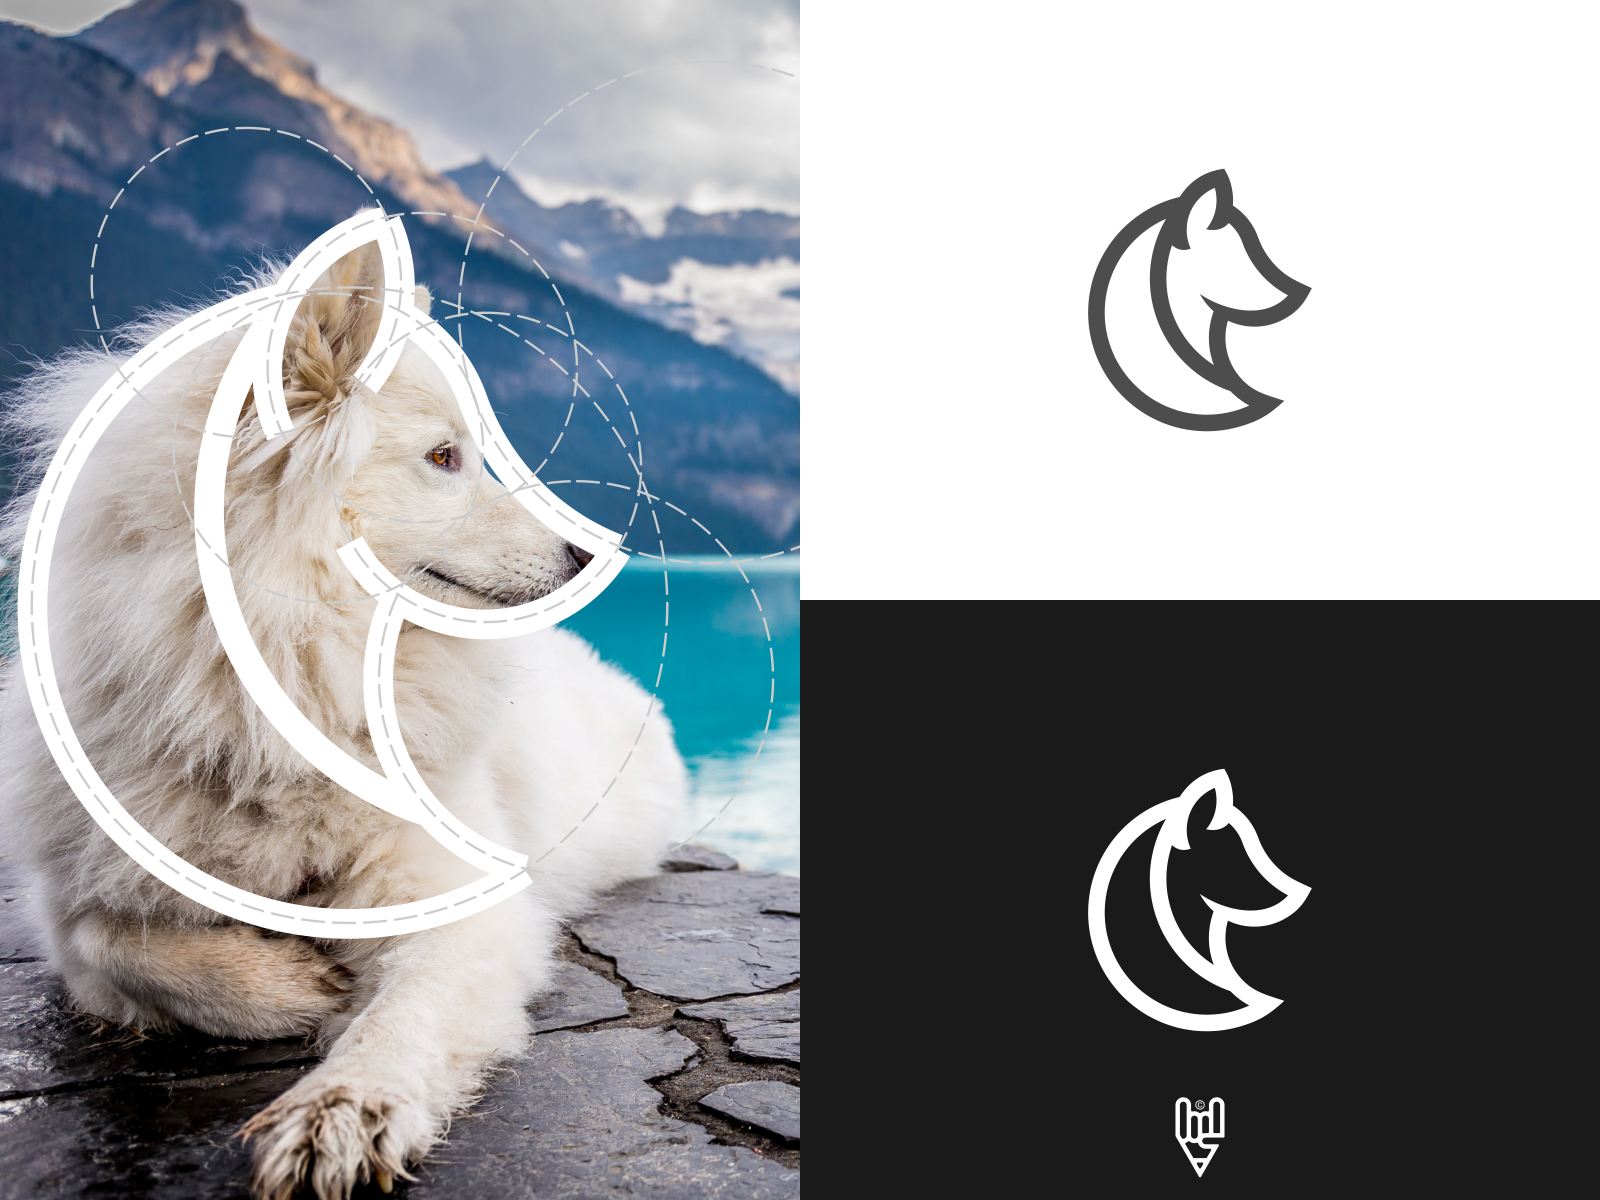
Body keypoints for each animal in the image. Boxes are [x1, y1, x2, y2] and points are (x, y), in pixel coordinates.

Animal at [0, 233, 687, 1198]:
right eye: (445, 457)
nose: (587, 553)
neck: (280, 688)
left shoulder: (457, 906)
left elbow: (398, 1022)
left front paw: (345, 1109)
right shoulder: (72, 903)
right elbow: (118, 941)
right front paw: (289, 985)